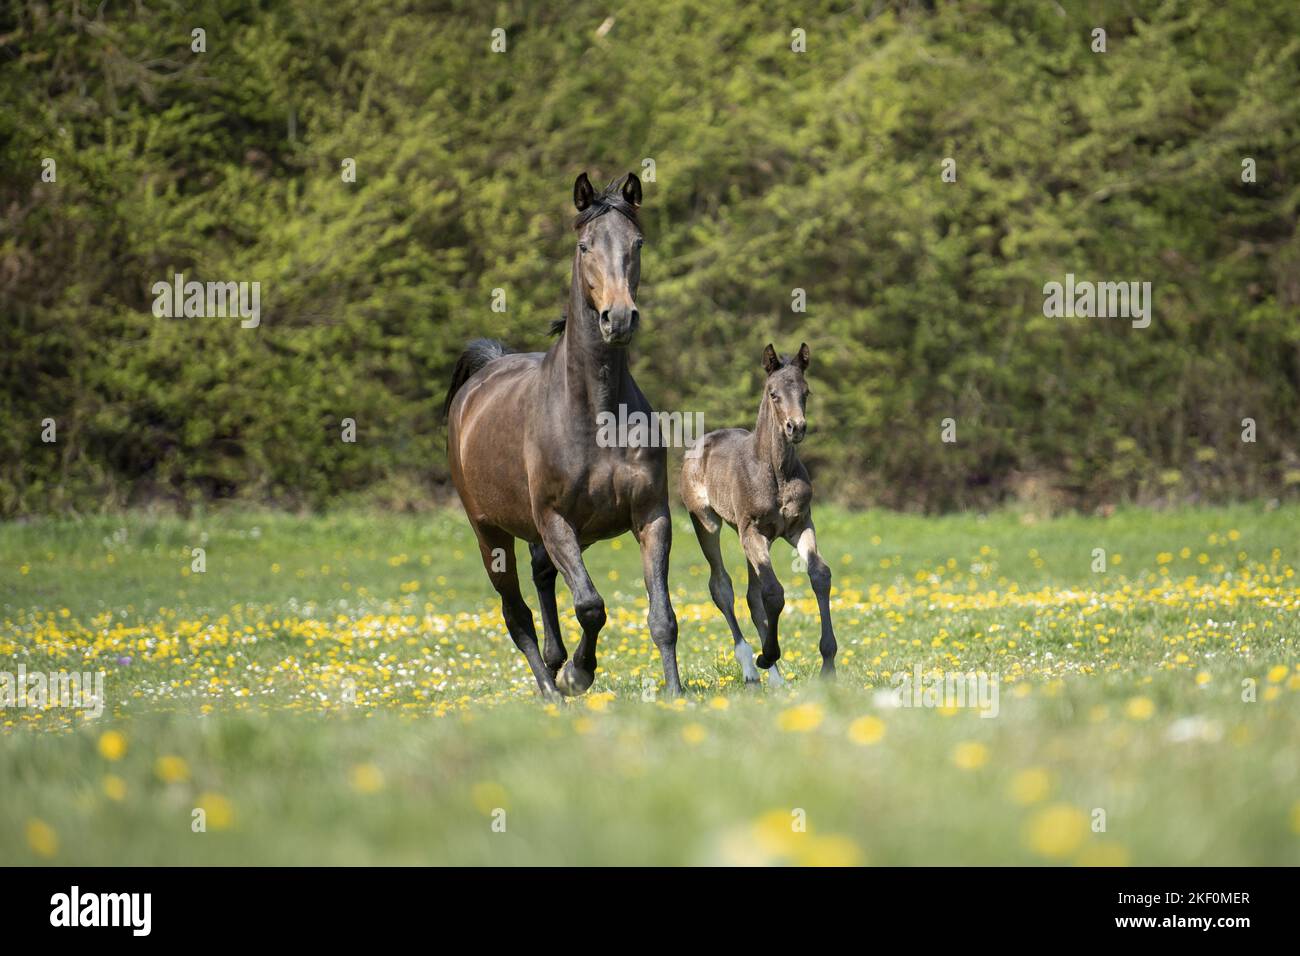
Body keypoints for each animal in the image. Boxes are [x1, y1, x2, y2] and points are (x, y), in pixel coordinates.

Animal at [442, 172, 682, 699]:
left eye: (637, 243)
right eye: (584, 245)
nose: (618, 318)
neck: (595, 414)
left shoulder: (651, 514)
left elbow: (662, 617)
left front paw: (676, 693)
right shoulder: (555, 521)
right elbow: (590, 605)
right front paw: (578, 673)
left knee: (542, 576)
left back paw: (554, 665)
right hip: (489, 532)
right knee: (516, 612)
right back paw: (551, 688)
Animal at [680, 343, 837, 684]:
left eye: (806, 391)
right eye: (773, 393)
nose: (796, 427)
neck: (775, 471)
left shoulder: (799, 525)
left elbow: (819, 575)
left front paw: (828, 662)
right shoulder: (752, 530)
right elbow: (774, 593)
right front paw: (767, 655)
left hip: (749, 536)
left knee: (753, 597)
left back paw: (774, 677)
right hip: (707, 523)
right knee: (721, 587)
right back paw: (751, 667)